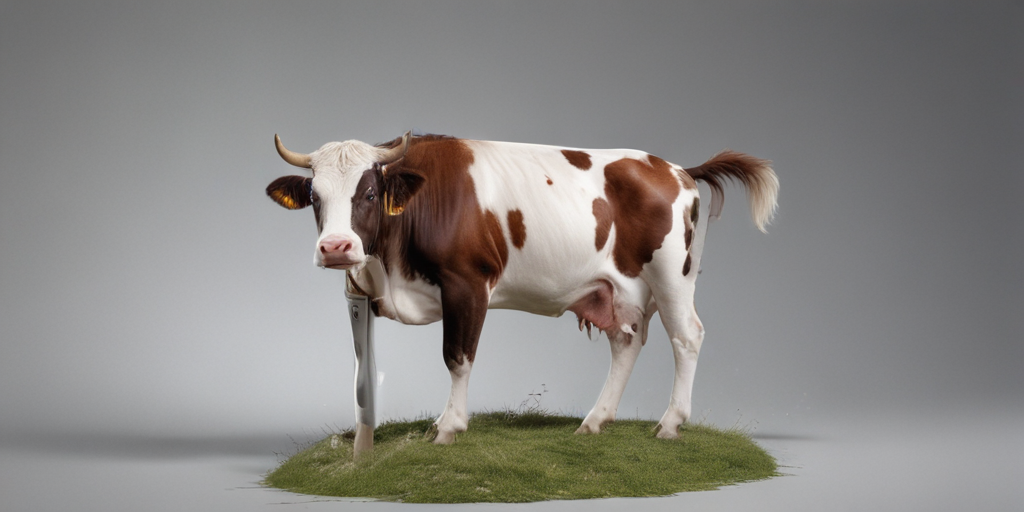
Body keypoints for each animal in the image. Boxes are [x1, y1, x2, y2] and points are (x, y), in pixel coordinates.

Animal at [266, 132, 778, 453]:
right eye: (314, 197)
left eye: (370, 193)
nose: (336, 247)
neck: (390, 268)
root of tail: (671, 167)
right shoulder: (359, 292)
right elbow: (361, 370)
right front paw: (361, 446)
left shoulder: (468, 282)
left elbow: (457, 357)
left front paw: (448, 427)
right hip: (621, 289)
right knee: (626, 342)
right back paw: (595, 421)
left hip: (673, 274)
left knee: (687, 336)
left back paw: (670, 425)